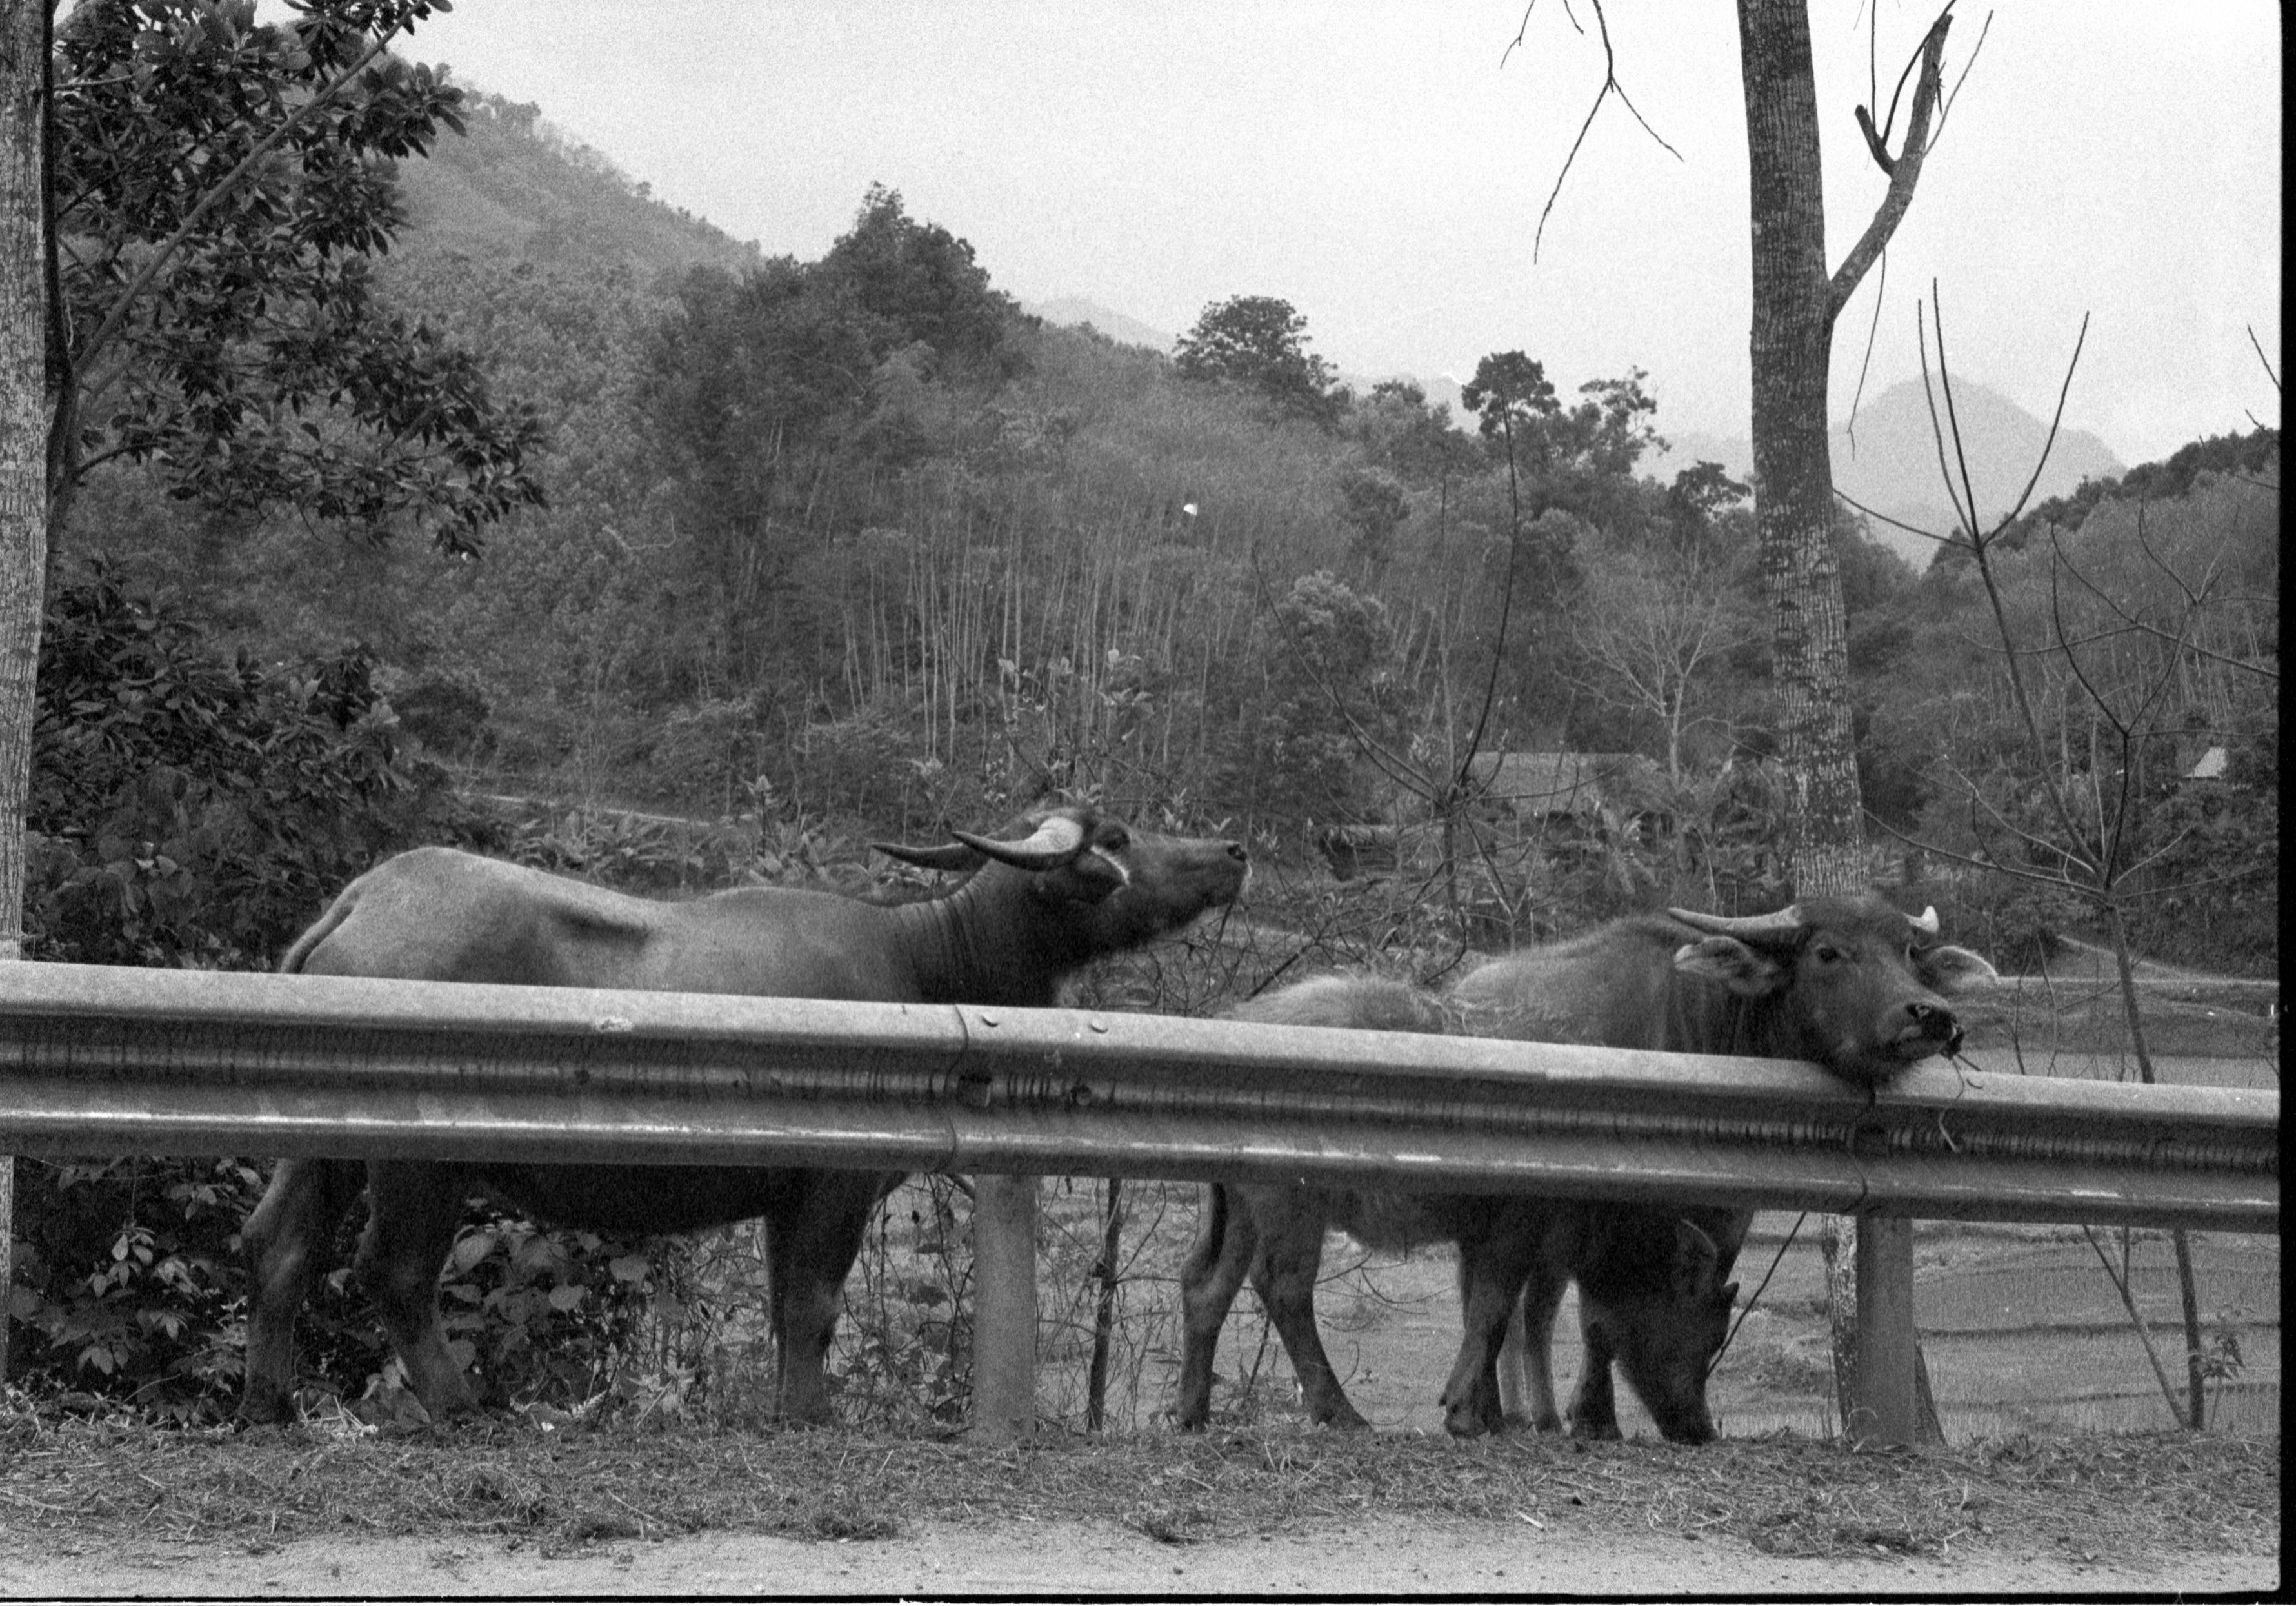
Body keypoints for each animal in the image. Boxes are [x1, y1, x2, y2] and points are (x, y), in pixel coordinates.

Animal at [240, 806, 1248, 1427]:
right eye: (1117, 834)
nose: (1233, 852)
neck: (923, 965)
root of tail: (357, 904)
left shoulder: (786, 1192)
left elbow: (785, 1308)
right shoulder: (837, 1183)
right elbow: (813, 1304)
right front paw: (809, 1414)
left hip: (326, 1146)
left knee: (277, 1242)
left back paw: (270, 1404)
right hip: (418, 1159)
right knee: (394, 1269)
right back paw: (460, 1408)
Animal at [1175, 894, 1996, 1442]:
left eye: (1909, 952)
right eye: (1828, 952)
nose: (1929, 1016)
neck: (1697, 1024)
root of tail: (1237, 1023)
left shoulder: (1526, 1230)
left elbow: (1512, 1310)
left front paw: (1506, 1414)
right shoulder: (1550, 1215)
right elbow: (1545, 1312)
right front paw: (1533, 1416)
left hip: (1239, 1203)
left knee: (1206, 1287)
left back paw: (1191, 1410)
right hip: (1292, 1200)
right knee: (1285, 1290)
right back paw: (1338, 1411)